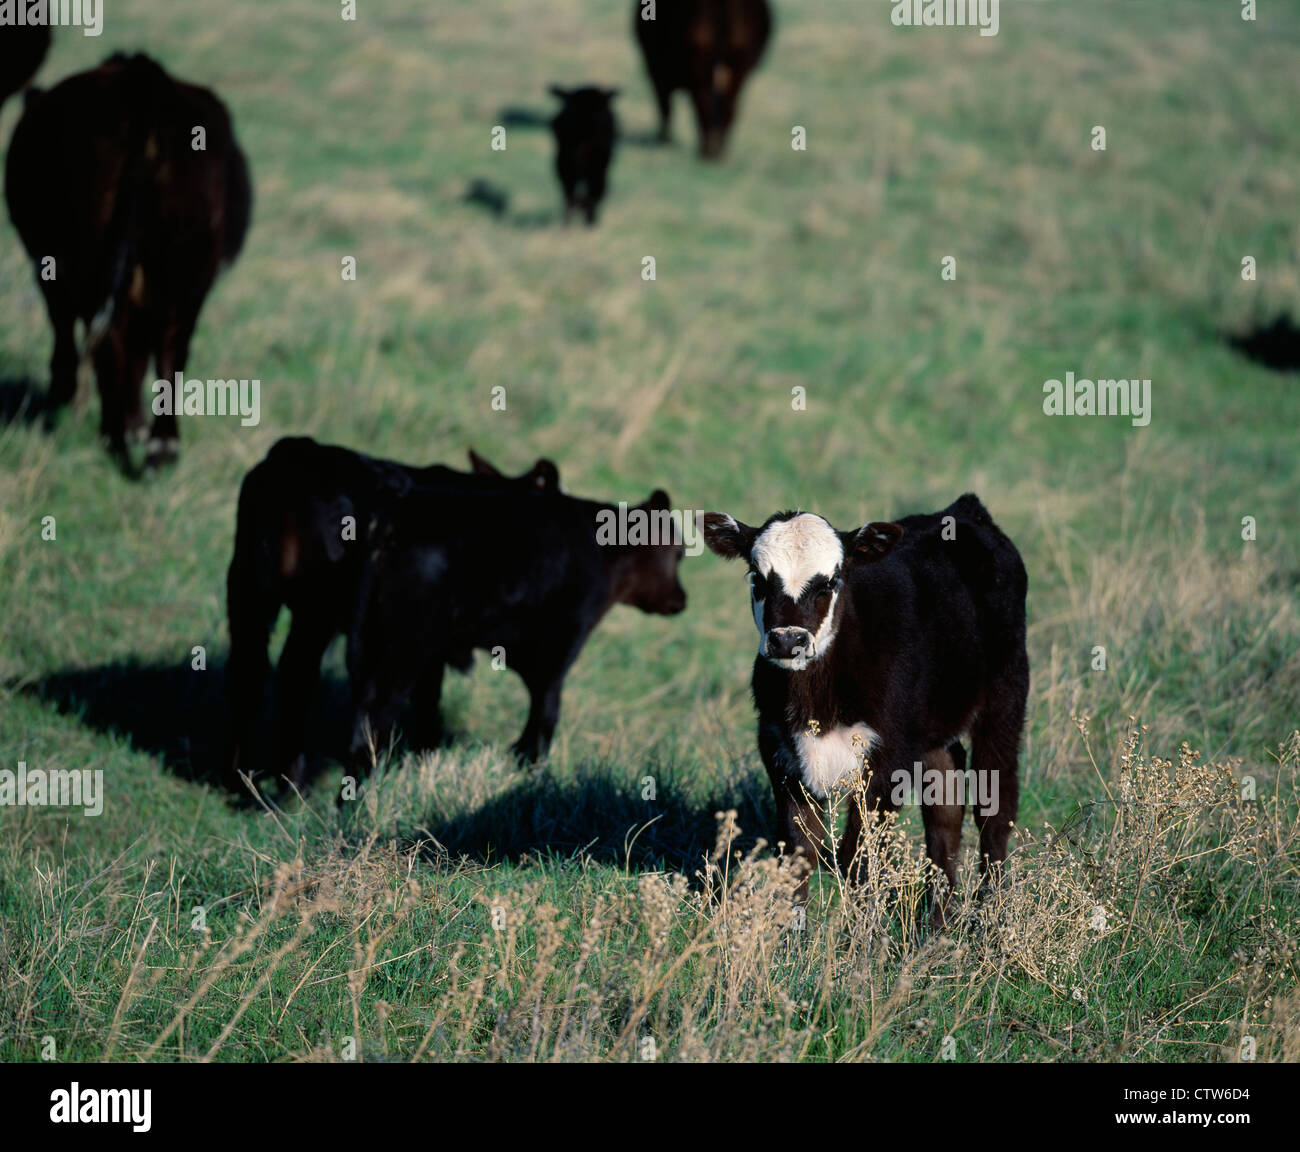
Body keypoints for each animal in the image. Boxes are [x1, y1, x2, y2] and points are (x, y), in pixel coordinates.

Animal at [5, 52, 251, 468]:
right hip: (187, 267)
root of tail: (144, 82)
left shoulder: (48, 265)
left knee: (117, 341)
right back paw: (160, 445)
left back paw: (115, 432)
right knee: (167, 346)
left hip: (94, 259)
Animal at [226, 437, 561, 792]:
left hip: (246, 584)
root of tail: (296, 451)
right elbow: (428, 695)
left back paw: (240, 781)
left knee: (248, 669)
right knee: (295, 674)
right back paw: (293, 782)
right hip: (316, 606)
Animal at [347, 485, 688, 774]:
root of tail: (397, 515)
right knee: (378, 708)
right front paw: (532, 769)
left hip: (377, 639)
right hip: (408, 645)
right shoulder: (560, 647)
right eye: (679, 552)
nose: (681, 599)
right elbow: (546, 712)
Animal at [631, 0, 772, 159]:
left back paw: (705, 152)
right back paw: (719, 153)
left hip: (699, 65)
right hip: (739, 67)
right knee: (728, 108)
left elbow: (665, 107)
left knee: (703, 106)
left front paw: (664, 140)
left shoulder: (655, 69)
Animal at [703, 494, 1028, 926]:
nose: (788, 641)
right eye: (758, 578)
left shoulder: (887, 758)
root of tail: (963, 509)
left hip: (1006, 694)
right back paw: (937, 920)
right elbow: (799, 847)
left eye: (830, 582)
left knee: (996, 805)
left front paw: (863, 935)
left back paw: (991, 913)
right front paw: (794, 933)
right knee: (945, 803)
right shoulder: (779, 750)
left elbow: (859, 855)